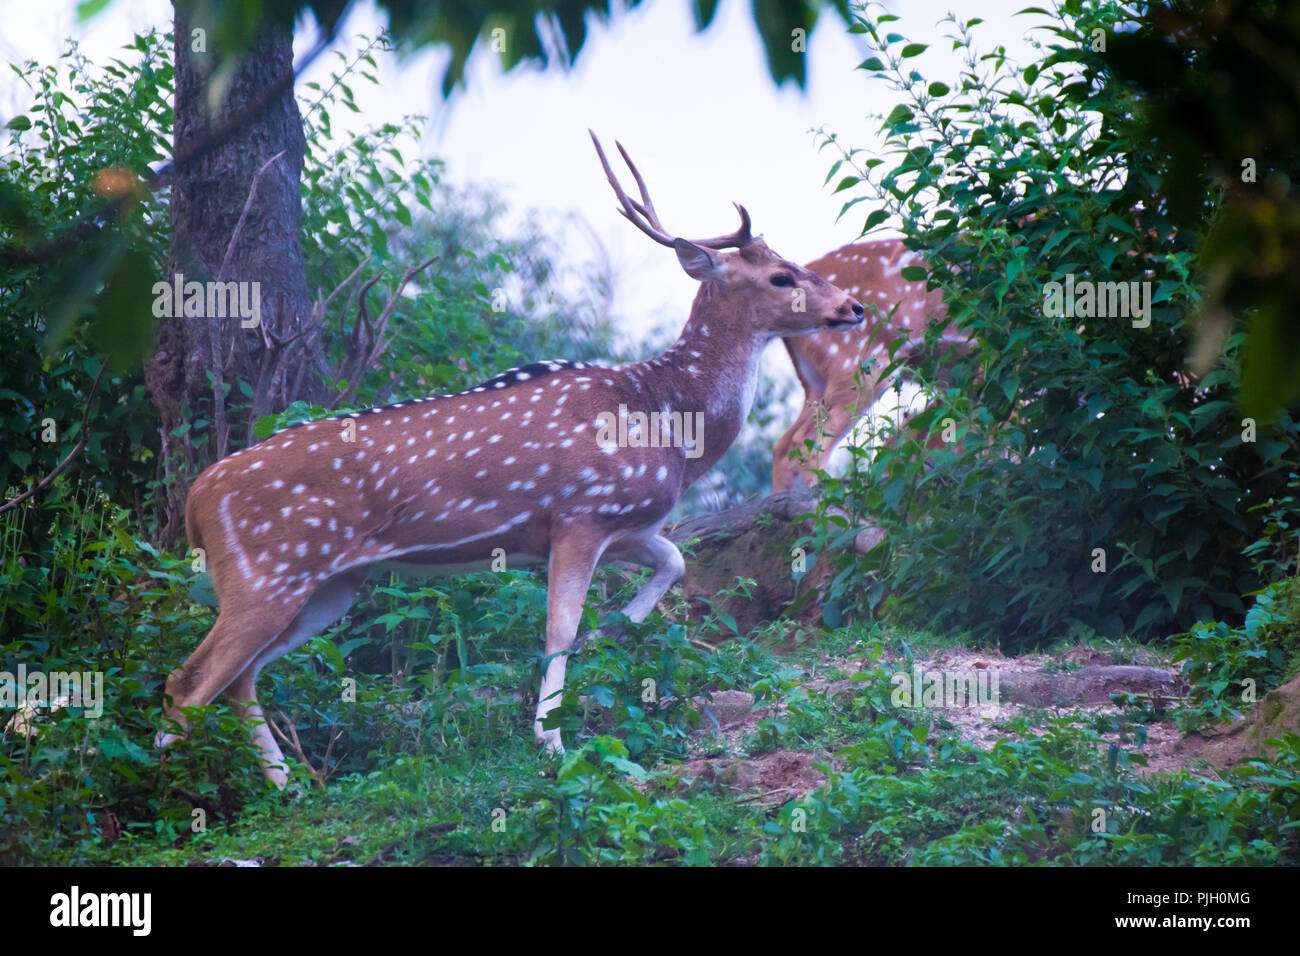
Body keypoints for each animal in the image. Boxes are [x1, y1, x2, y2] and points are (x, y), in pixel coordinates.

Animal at [156, 131, 864, 786]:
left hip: (327, 585)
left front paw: (616, 630)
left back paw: (290, 788)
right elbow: (558, 631)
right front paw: (551, 740)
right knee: (187, 682)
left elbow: (675, 562)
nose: (853, 306)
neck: (666, 420)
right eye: (781, 275)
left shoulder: (628, 525)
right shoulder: (581, 515)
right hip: (267, 571)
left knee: (238, 679)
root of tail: (196, 500)